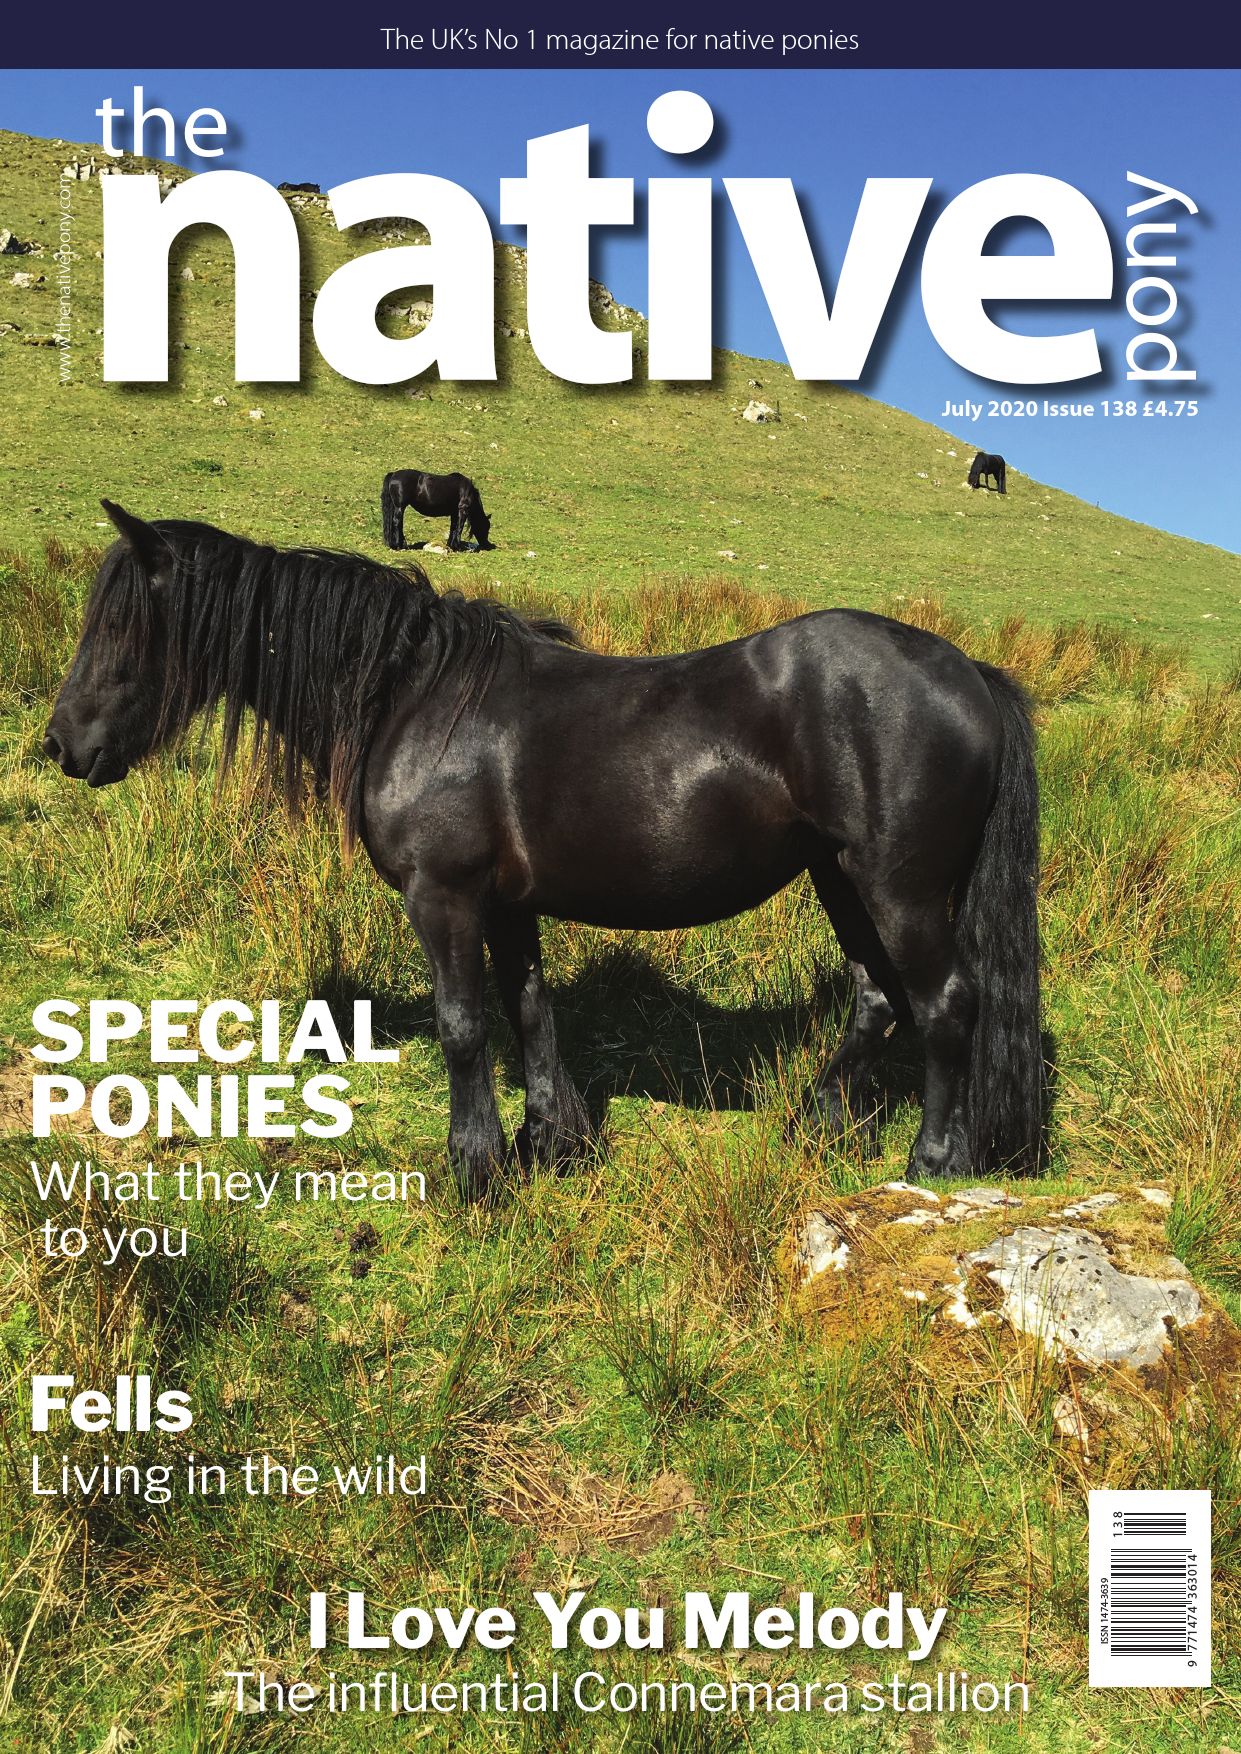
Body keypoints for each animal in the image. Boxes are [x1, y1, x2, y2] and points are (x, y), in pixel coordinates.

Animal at [44, 502, 1045, 1199]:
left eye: (121, 629)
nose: (60, 746)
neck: (415, 696)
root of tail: (968, 673)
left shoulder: (442, 897)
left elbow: (463, 1025)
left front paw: (475, 1168)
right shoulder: (508, 906)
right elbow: (528, 1012)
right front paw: (549, 1144)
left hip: (897, 888)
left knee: (945, 1003)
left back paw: (933, 1161)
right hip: (837, 879)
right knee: (877, 998)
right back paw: (813, 1125)